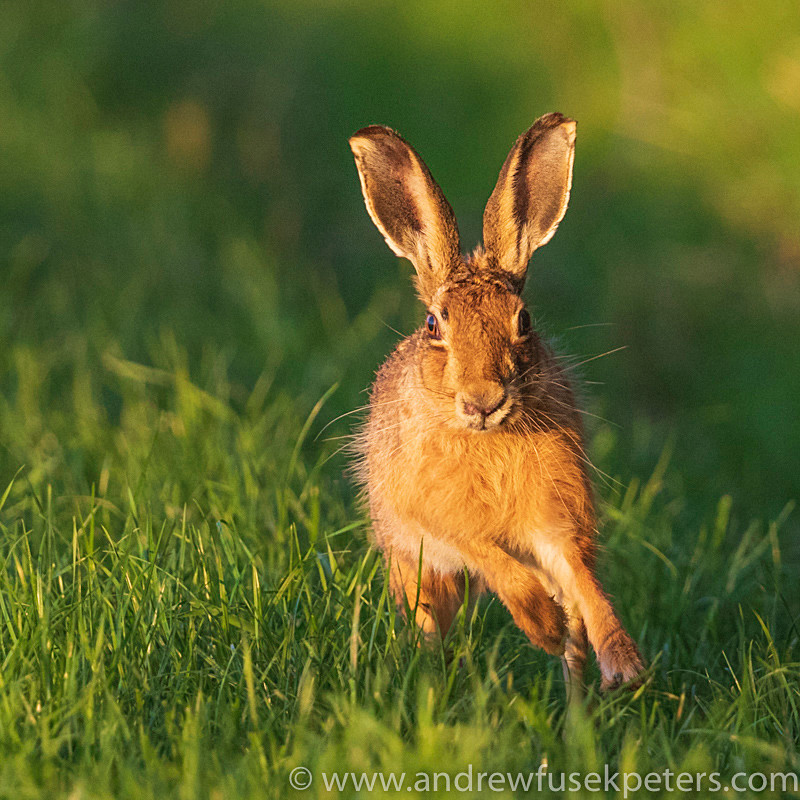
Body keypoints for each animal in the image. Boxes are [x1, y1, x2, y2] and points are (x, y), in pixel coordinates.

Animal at [348, 112, 644, 693]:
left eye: (523, 320)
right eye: (434, 325)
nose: (483, 400)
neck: (487, 437)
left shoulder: (557, 523)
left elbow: (583, 577)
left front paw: (624, 662)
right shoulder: (439, 518)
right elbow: (489, 553)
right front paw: (541, 623)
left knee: (573, 639)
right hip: (410, 562)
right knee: (428, 621)